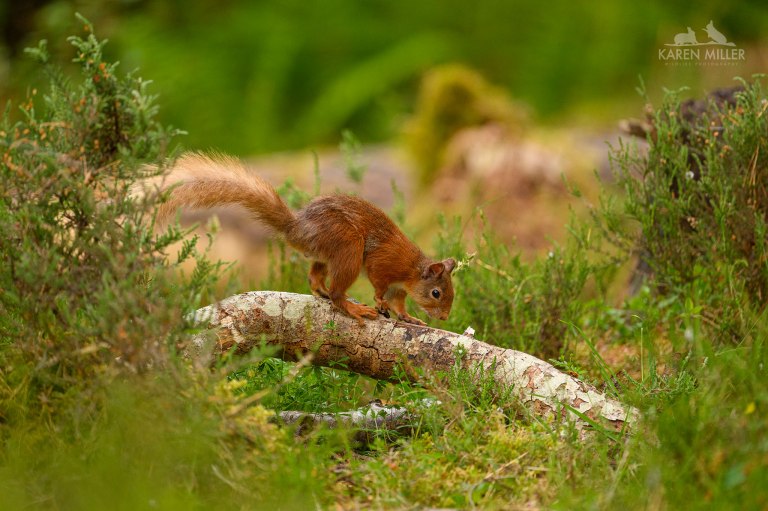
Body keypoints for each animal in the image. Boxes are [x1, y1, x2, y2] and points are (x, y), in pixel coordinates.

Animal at [148, 152, 456, 325]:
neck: (411, 271)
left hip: (329, 254)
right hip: (348, 248)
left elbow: (399, 304)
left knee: (314, 278)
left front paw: (408, 316)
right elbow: (380, 286)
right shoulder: (385, 264)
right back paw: (352, 307)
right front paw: (380, 302)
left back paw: (324, 292)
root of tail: (299, 230)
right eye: (437, 293)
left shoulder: (400, 289)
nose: (444, 317)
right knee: (336, 293)